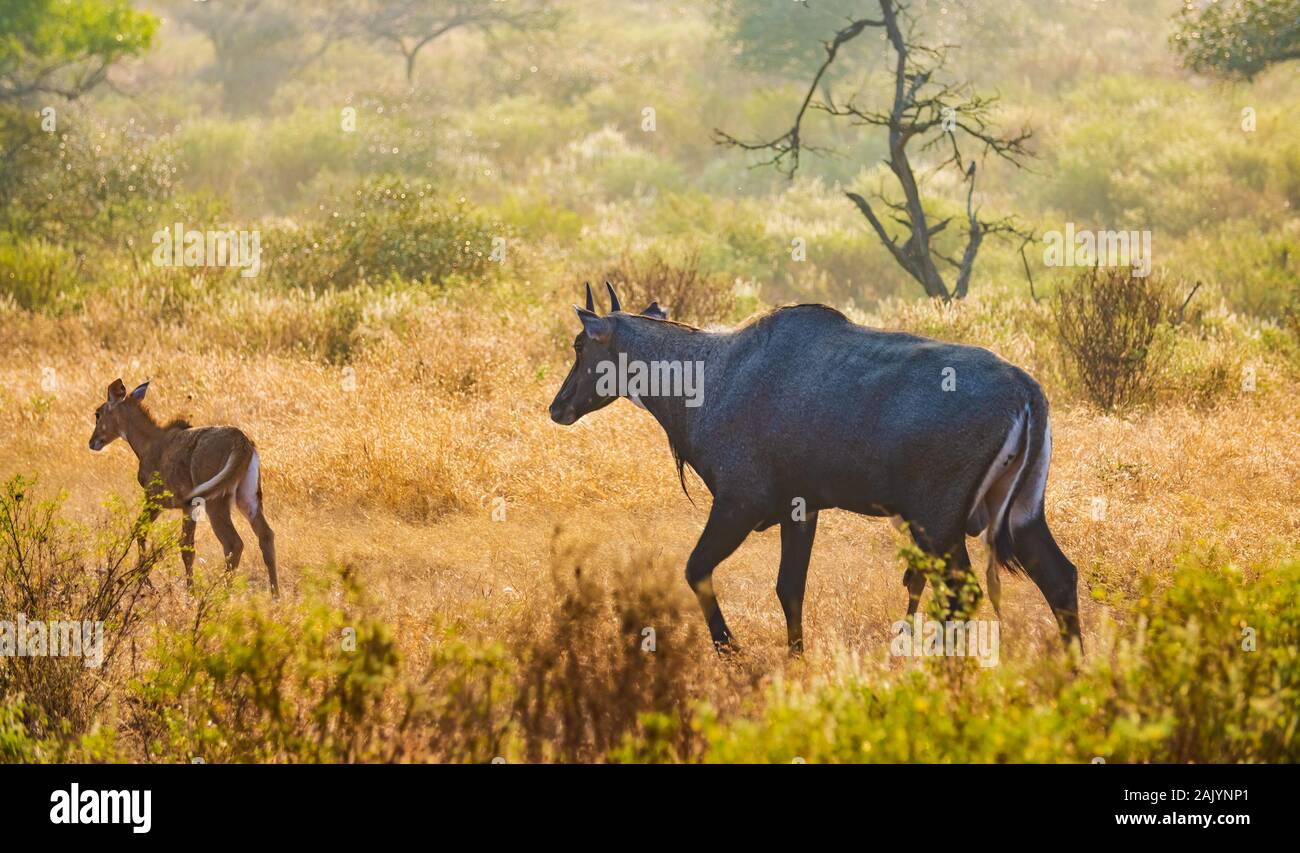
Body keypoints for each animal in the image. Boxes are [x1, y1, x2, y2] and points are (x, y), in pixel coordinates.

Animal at [88, 379, 278, 596]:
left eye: (98, 414)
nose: (92, 442)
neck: (149, 442)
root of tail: (242, 442)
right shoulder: (188, 506)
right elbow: (186, 546)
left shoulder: (155, 499)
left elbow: (142, 532)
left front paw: (152, 583)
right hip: (248, 496)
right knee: (266, 535)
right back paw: (275, 596)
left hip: (216, 501)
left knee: (233, 543)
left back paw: (223, 595)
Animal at [549, 284, 1080, 655]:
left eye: (579, 345)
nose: (557, 407)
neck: (710, 374)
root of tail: (1027, 393)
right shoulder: (800, 510)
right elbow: (790, 588)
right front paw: (795, 658)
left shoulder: (740, 503)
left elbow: (696, 568)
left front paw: (732, 651)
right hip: (1020, 515)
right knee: (1059, 577)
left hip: (938, 523)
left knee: (961, 593)